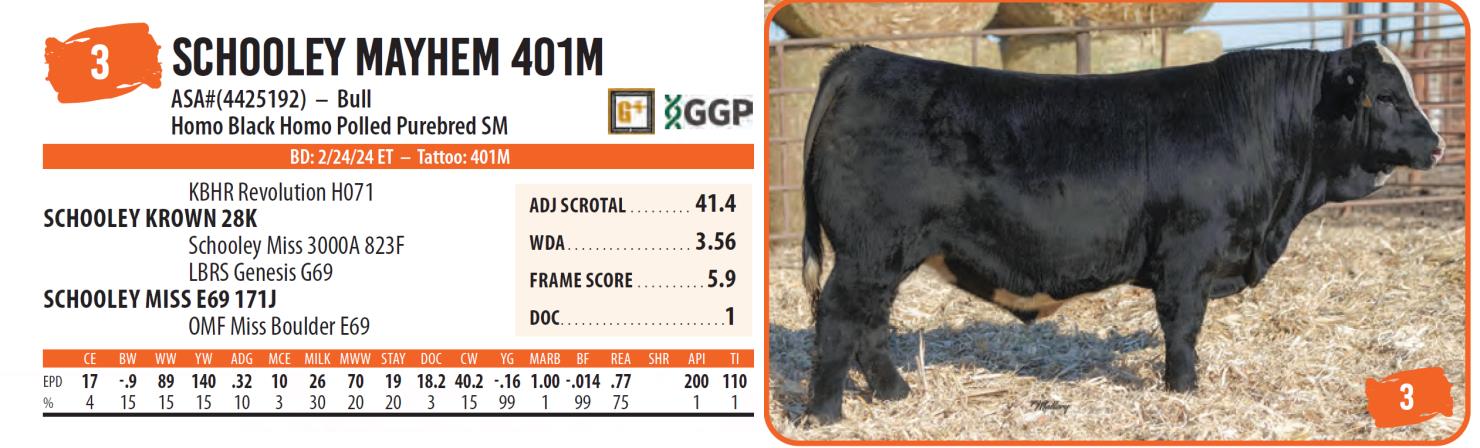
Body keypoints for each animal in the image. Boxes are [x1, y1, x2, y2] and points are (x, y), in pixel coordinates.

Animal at [797, 42, 1445, 424]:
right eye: (1386, 95)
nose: (1438, 145)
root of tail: (864, 58)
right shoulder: (1189, 255)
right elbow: (1182, 327)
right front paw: (1183, 389)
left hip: (884, 256)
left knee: (870, 326)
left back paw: (895, 395)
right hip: (868, 252)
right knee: (840, 319)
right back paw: (825, 414)